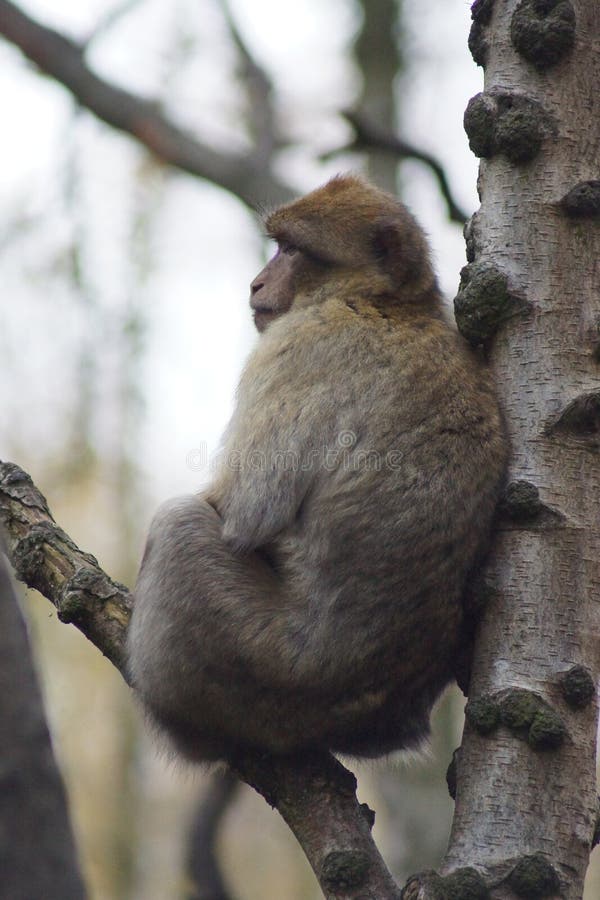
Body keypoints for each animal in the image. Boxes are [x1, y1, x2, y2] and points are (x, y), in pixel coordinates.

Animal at [127, 174, 508, 763]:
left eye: (291, 250)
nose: (256, 283)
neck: (390, 303)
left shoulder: (300, 344)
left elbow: (244, 513)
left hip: (259, 669)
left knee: (178, 527)